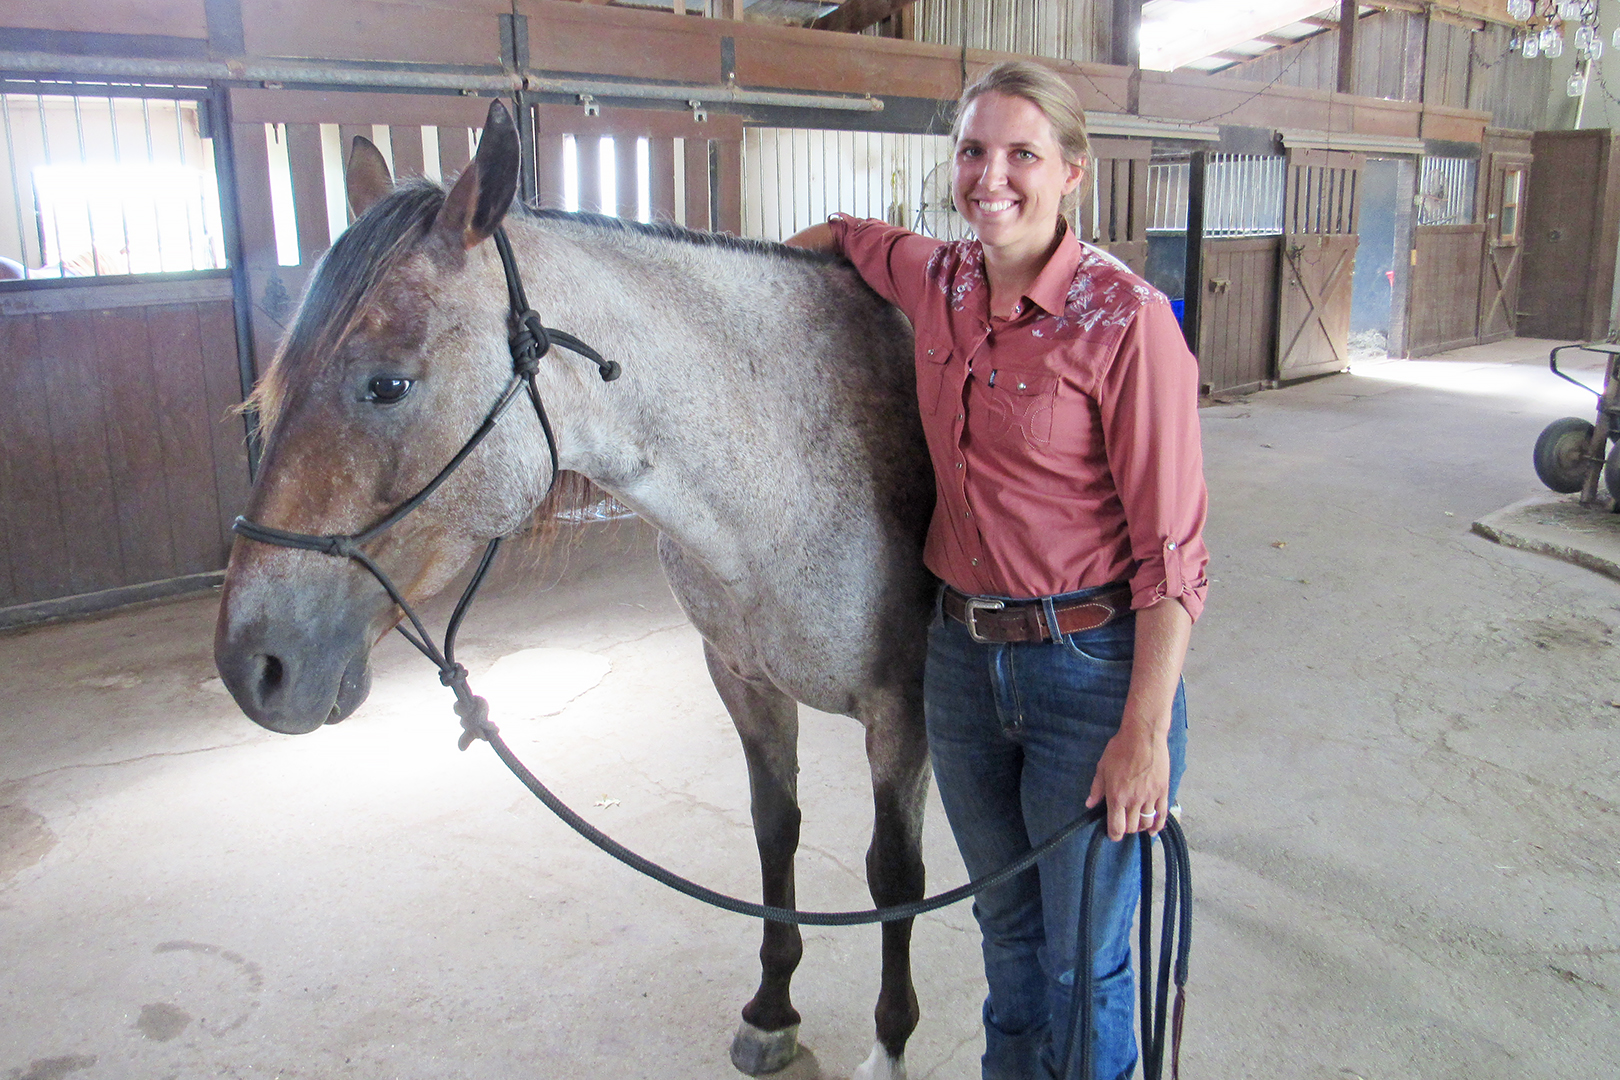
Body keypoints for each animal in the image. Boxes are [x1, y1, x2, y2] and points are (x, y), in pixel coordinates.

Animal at [213, 99, 937, 1080]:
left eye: (387, 384)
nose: (253, 664)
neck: (789, 459)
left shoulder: (902, 709)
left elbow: (895, 877)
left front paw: (890, 1042)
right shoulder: (744, 683)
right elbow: (775, 829)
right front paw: (772, 1009)